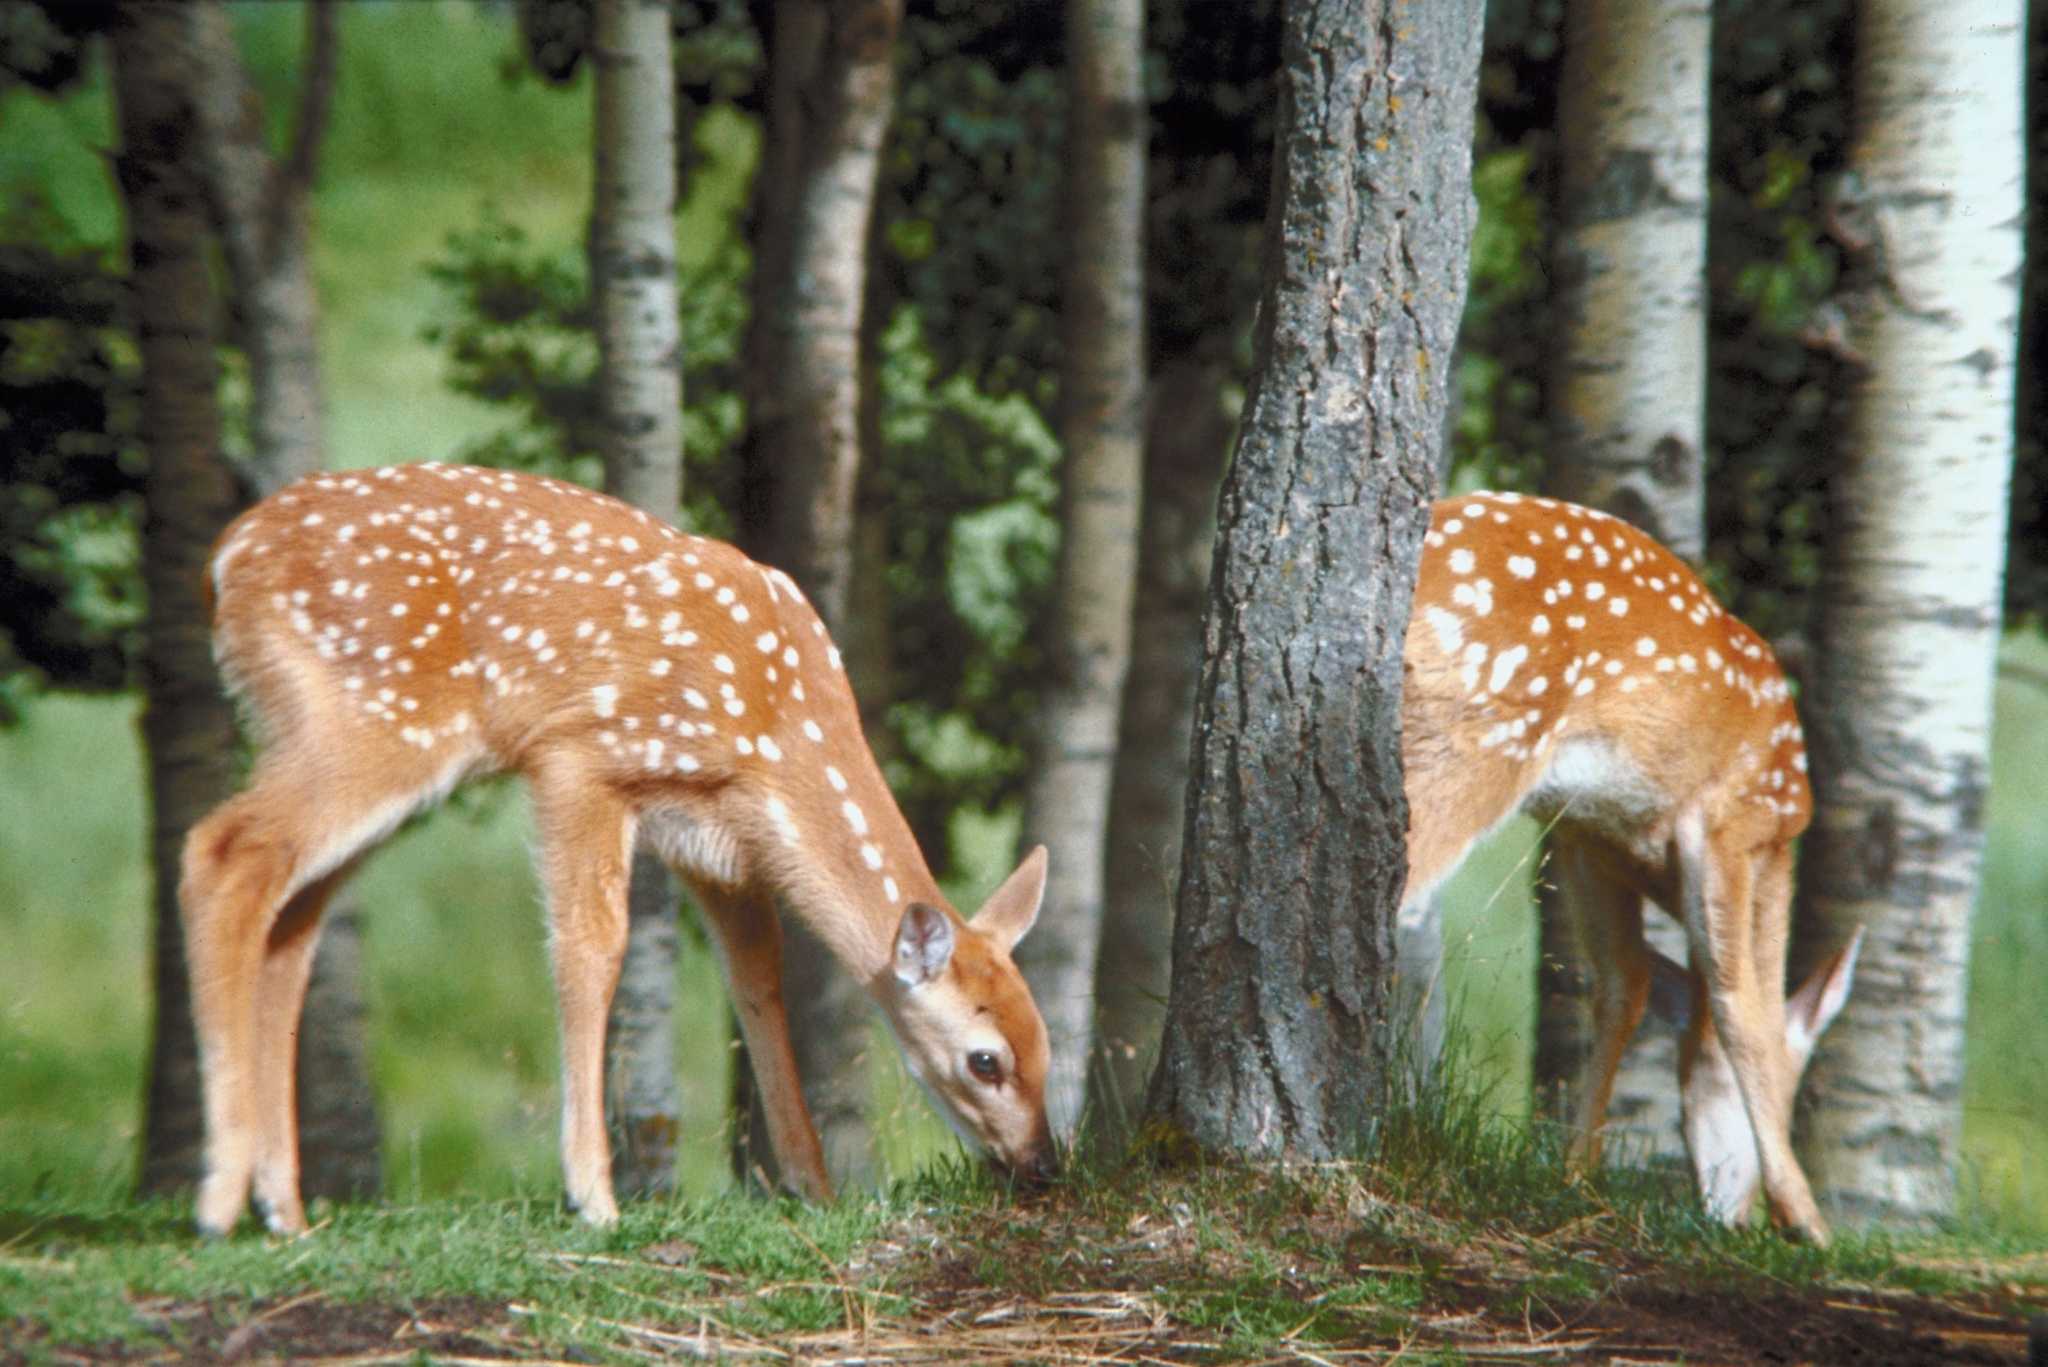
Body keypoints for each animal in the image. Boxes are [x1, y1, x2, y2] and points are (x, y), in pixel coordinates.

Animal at [181, 462, 1056, 1237]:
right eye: (985, 1059)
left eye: (1047, 1042)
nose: (1045, 1165)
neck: (775, 723)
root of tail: (225, 560)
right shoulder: (581, 757)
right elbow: (590, 950)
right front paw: (593, 1195)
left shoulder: (716, 840)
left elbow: (757, 982)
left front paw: (814, 1186)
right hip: (377, 717)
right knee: (220, 847)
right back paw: (220, 1196)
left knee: (290, 920)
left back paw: (284, 1208)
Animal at [1400, 491, 1861, 1244]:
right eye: (1798, 1096)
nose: (1734, 1218)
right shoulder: (1728, 821)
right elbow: (1741, 1008)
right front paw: (1808, 1221)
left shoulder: (1587, 837)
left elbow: (1624, 986)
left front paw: (1576, 1173)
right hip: (1474, 741)